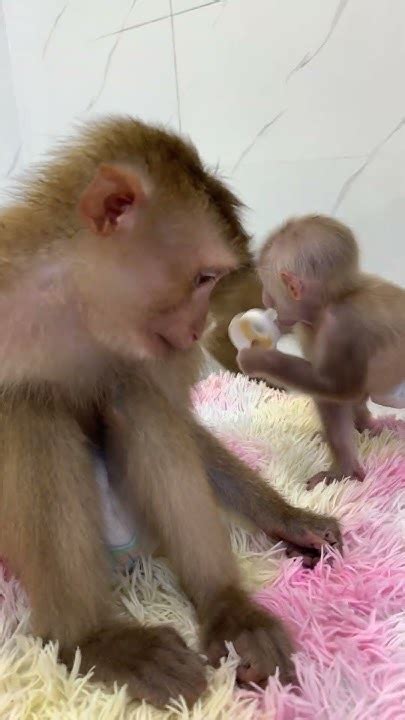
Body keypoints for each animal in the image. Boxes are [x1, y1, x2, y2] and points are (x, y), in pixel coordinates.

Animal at [0, 122, 342, 708]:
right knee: (30, 406)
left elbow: (169, 412)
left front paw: (285, 516)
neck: (77, 310)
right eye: (204, 277)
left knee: (136, 399)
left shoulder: (159, 350)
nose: (200, 325)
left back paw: (228, 609)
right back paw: (92, 639)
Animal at [238, 214, 405, 491]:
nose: (264, 298)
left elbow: (337, 387)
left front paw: (257, 359)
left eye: (267, 286)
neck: (332, 301)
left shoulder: (341, 327)